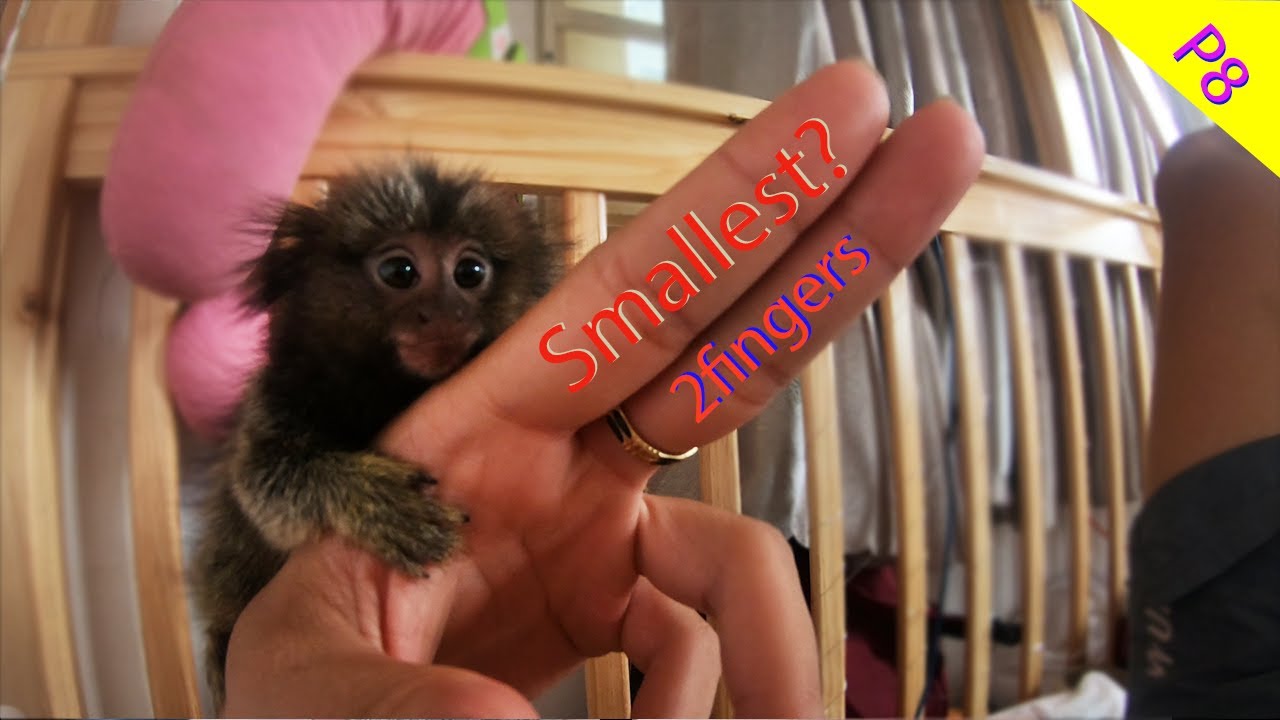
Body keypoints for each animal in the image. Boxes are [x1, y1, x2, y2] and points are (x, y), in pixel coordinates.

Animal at [191, 158, 565, 710]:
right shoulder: (279, 396)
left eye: (470, 273)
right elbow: (265, 486)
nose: (445, 313)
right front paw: (378, 499)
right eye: (398, 272)